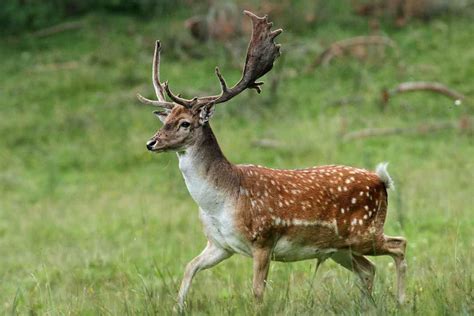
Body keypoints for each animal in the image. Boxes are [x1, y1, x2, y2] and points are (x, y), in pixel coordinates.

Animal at [137, 9, 408, 312]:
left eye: (184, 123)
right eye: (165, 120)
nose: (151, 143)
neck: (221, 200)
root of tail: (381, 181)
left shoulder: (263, 238)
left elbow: (257, 291)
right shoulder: (219, 245)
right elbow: (189, 267)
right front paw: (178, 308)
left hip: (364, 231)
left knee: (399, 245)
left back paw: (402, 301)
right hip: (339, 247)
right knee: (369, 269)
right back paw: (367, 306)